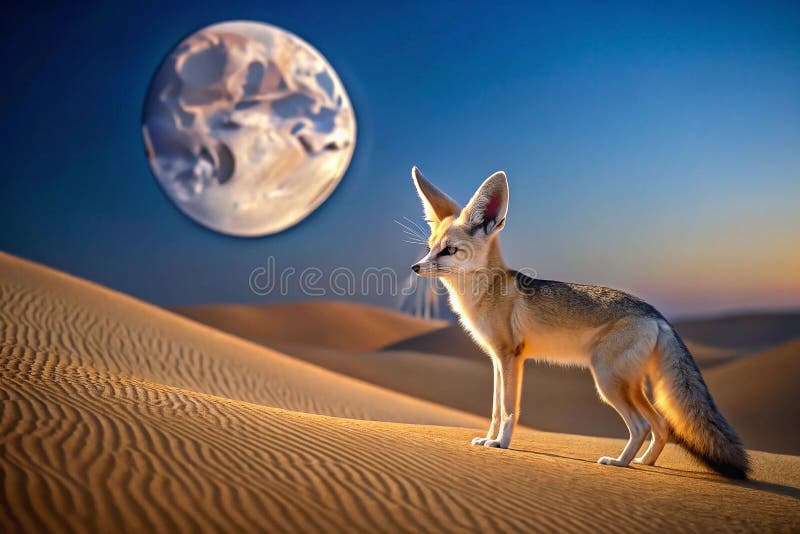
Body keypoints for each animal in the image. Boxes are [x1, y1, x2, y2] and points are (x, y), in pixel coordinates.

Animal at [409, 166, 750, 479]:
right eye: (429, 247)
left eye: (450, 250)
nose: (415, 267)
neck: (488, 291)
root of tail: (655, 313)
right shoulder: (496, 360)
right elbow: (494, 409)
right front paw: (488, 439)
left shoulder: (511, 357)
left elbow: (508, 410)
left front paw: (501, 444)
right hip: (630, 385)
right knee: (662, 424)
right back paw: (644, 463)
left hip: (607, 382)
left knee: (641, 425)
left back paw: (619, 463)